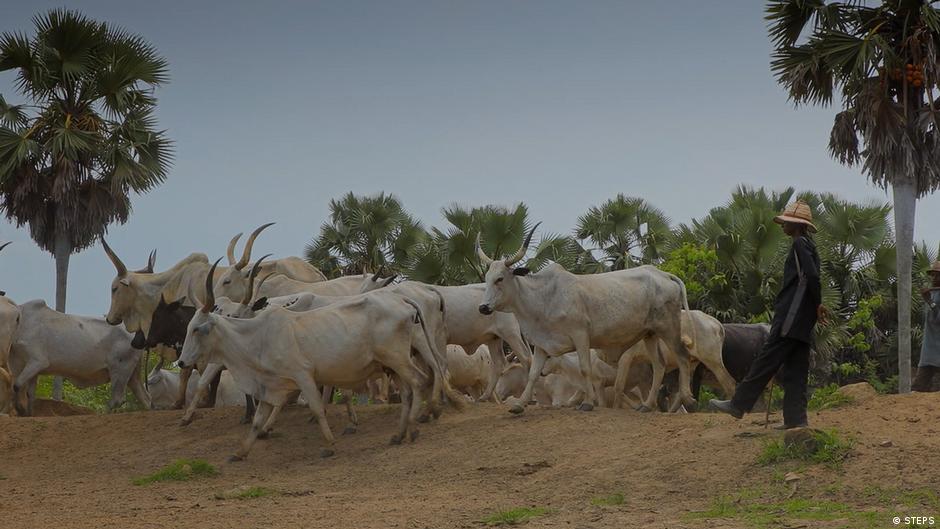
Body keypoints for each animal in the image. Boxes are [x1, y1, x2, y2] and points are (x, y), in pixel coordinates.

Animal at [9, 300, 151, 415]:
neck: (21, 322)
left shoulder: (37, 361)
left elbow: (17, 385)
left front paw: (20, 410)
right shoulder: (33, 369)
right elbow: (30, 394)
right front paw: (28, 415)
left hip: (120, 369)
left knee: (117, 399)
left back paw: (101, 415)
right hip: (132, 375)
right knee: (146, 398)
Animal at [176, 260, 456, 461]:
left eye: (198, 329)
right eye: (188, 327)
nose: (181, 362)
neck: (259, 335)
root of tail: (406, 299)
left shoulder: (302, 375)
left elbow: (317, 407)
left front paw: (330, 444)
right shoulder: (271, 385)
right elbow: (258, 420)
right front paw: (240, 451)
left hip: (404, 355)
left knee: (425, 377)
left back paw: (420, 421)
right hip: (395, 364)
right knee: (411, 389)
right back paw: (400, 432)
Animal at [476, 224, 695, 414]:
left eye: (500, 279)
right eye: (487, 279)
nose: (483, 307)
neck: (544, 297)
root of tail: (664, 274)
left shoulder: (581, 336)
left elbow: (585, 369)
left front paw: (588, 403)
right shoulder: (542, 343)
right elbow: (532, 373)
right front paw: (519, 404)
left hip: (669, 327)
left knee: (682, 357)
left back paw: (687, 400)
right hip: (650, 333)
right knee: (659, 365)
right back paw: (647, 406)